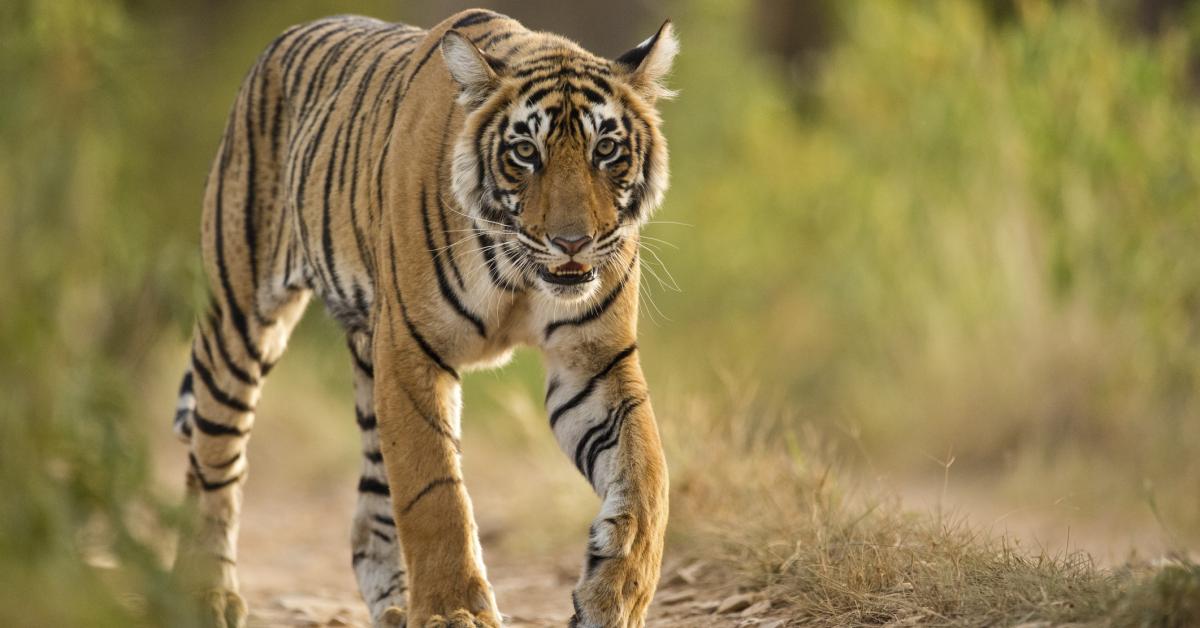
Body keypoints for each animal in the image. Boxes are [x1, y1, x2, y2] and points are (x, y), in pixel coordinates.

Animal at [169, 8, 677, 628]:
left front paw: (615, 596)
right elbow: (434, 490)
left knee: (368, 508)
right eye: (524, 153)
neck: (518, 273)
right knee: (213, 459)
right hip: (241, 318)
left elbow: (647, 472)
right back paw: (204, 593)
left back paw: (392, 606)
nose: (572, 243)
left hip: (366, 359)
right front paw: (453, 611)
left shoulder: (593, 362)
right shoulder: (411, 350)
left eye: (605, 149)